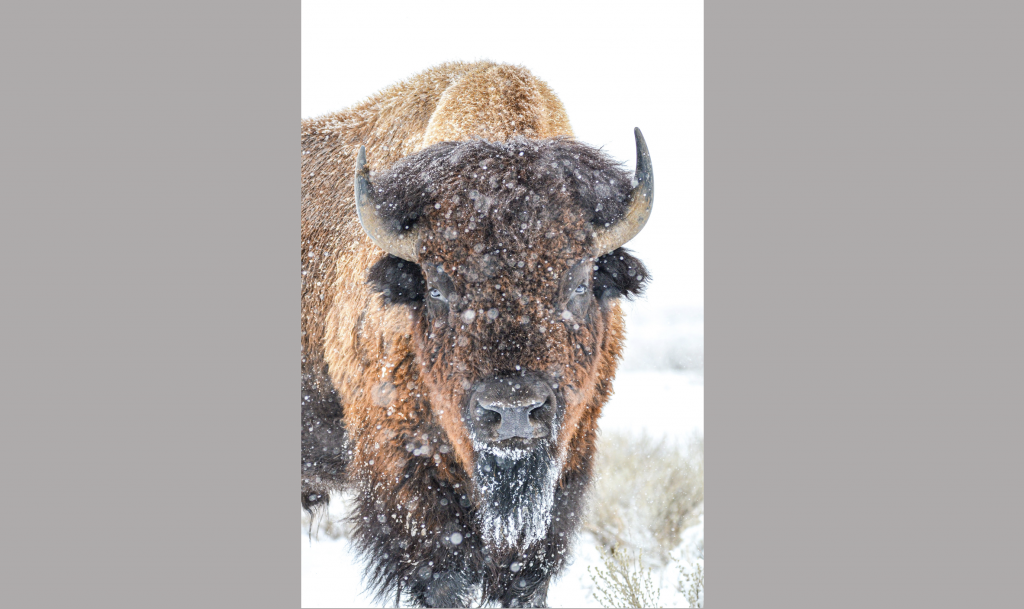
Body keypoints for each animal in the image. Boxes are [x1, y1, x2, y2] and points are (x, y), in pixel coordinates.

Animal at [301, 61, 654, 607]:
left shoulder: (568, 465)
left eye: (579, 280)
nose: (513, 411)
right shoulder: (407, 479)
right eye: (438, 286)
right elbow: (443, 573)